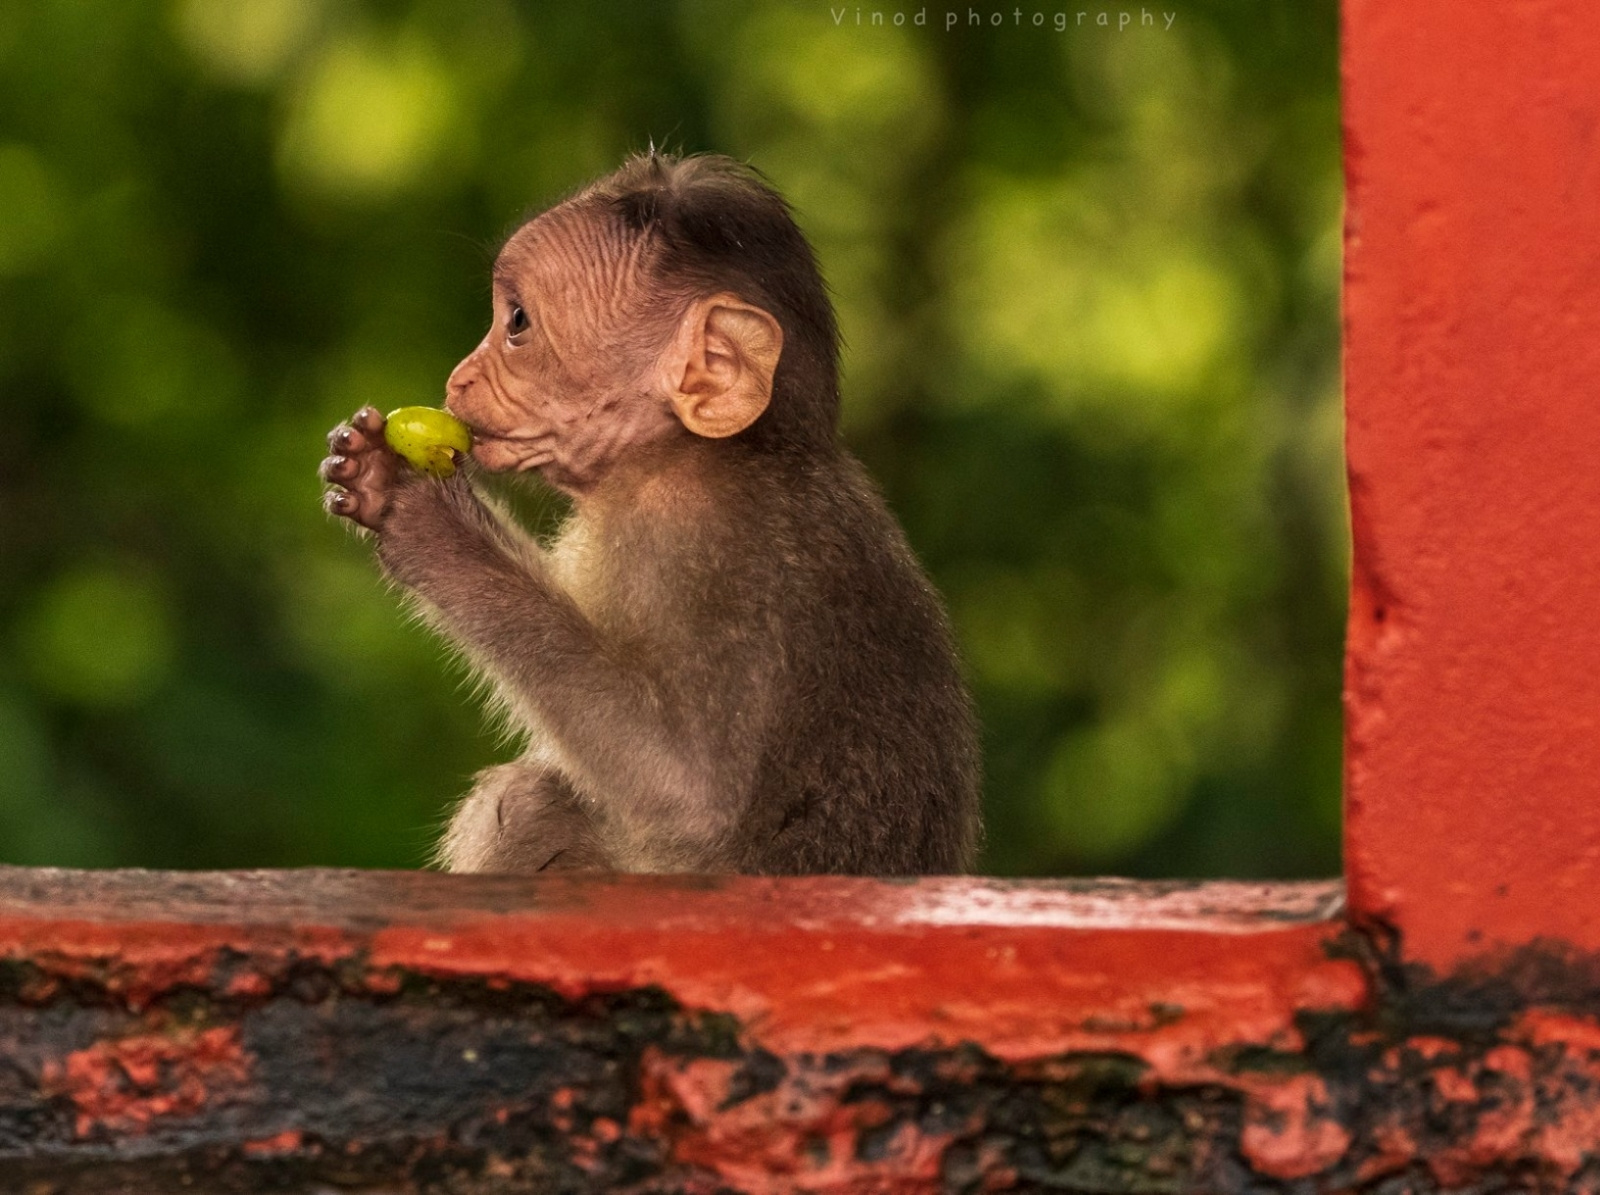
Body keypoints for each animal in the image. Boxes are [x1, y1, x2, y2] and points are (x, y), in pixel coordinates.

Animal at [319, 152, 981, 875]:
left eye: (517, 321)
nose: (458, 378)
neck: (680, 456)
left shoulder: (717, 555)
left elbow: (692, 792)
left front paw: (423, 517)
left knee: (530, 801)